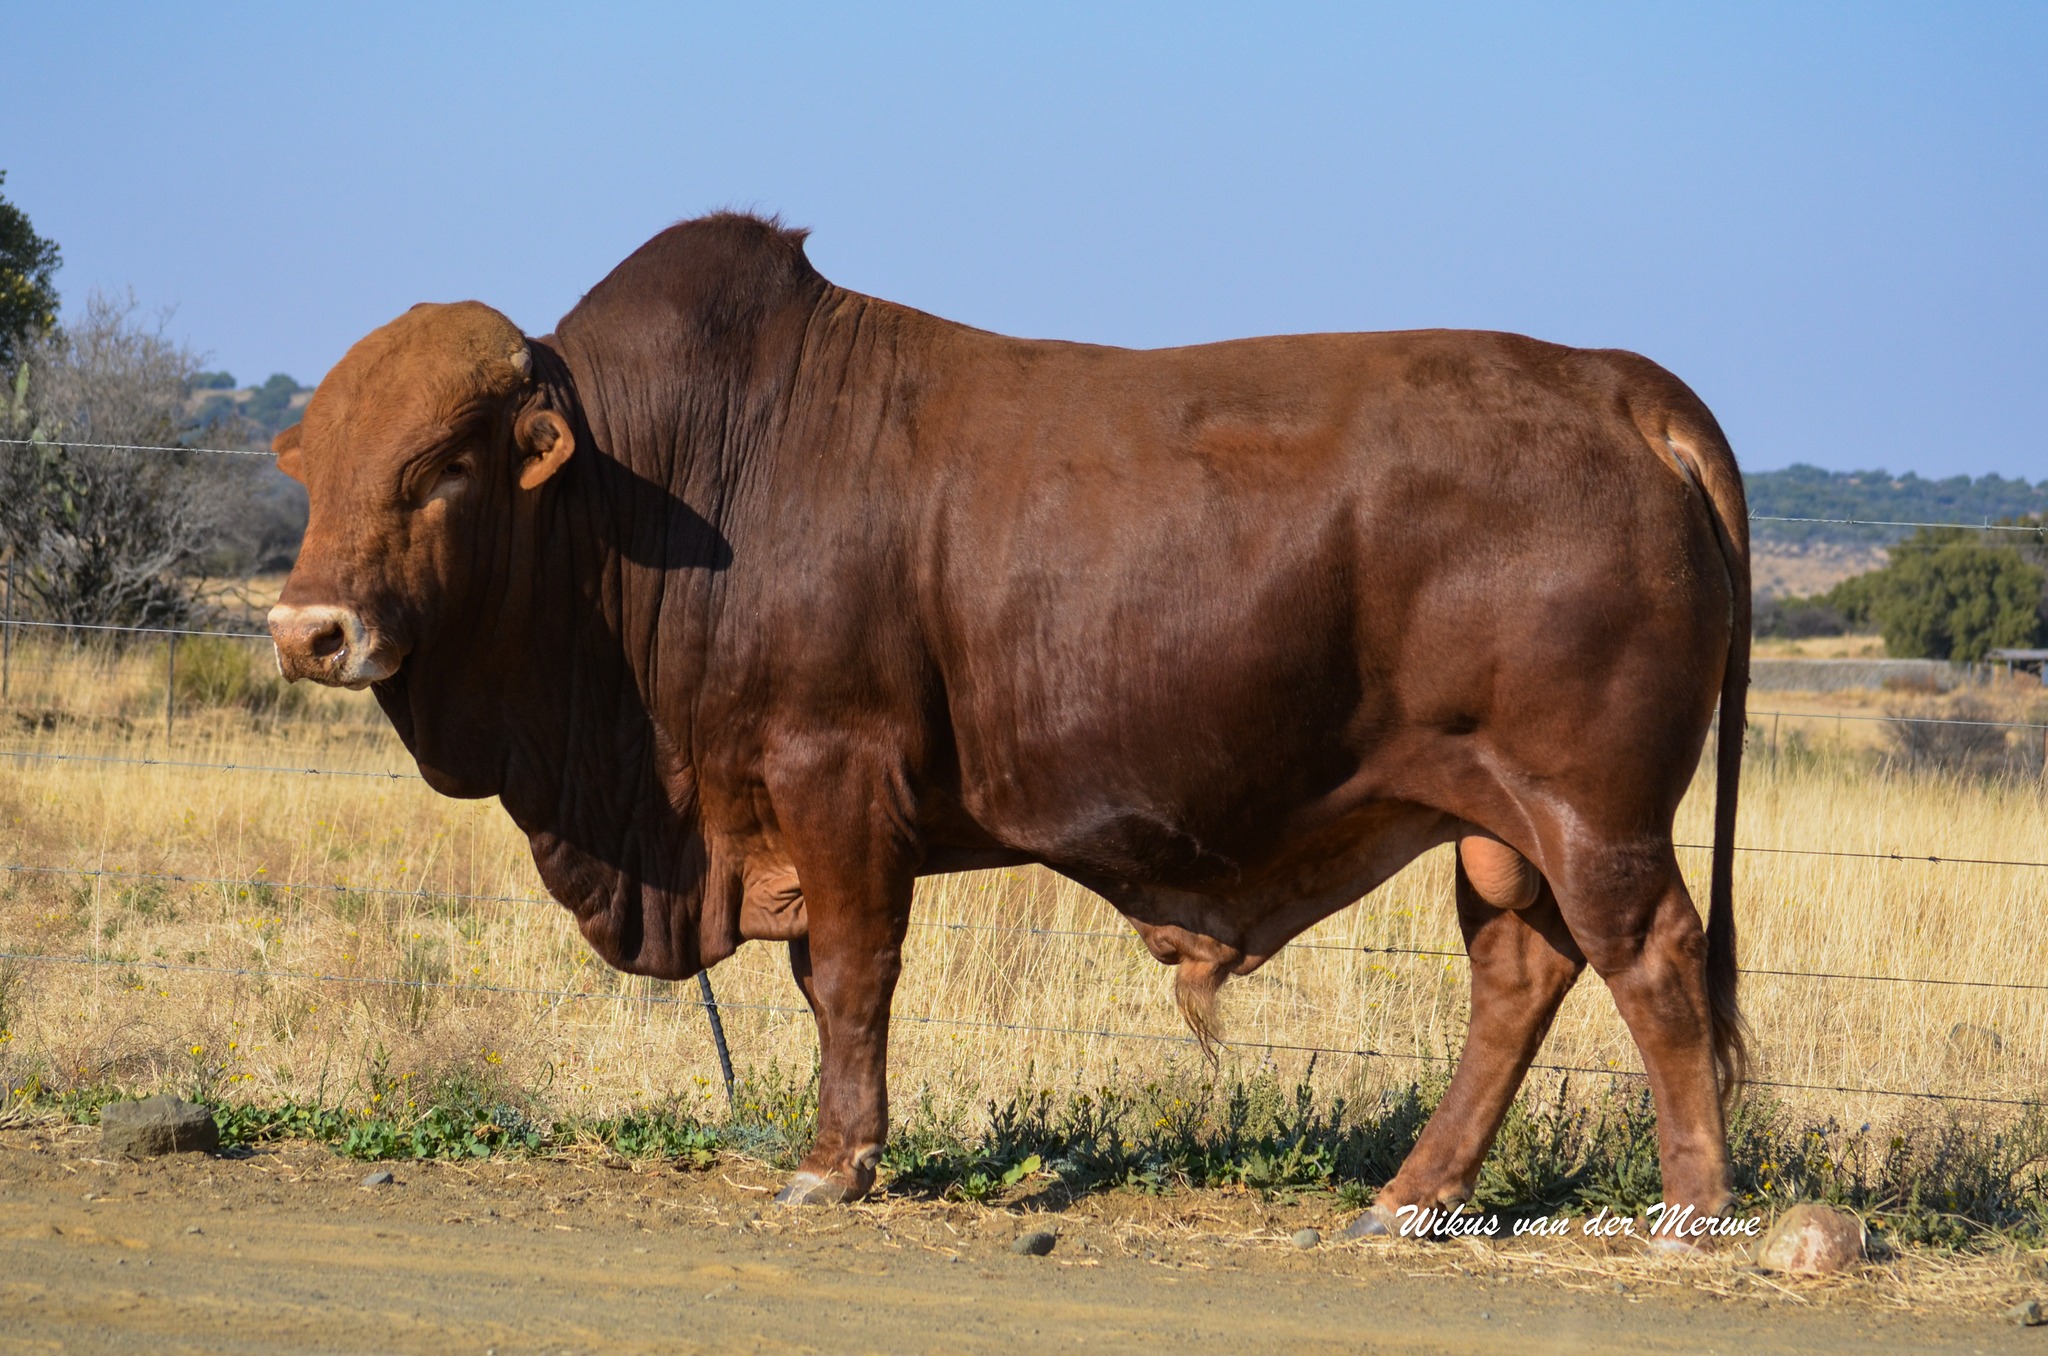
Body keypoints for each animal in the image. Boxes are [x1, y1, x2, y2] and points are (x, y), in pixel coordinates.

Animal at [269, 212, 1750, 1230]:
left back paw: (1691, 1203)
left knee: (1651, 960)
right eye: (317, 462)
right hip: (1495, 823)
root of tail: (1614, 382)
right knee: (1522, 973)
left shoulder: (835, 774)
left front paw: (836, 1165)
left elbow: (850, 977)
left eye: (446, 466)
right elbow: (823, 983)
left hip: (1590, 808)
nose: (308, 631)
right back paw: (1410, 1194)